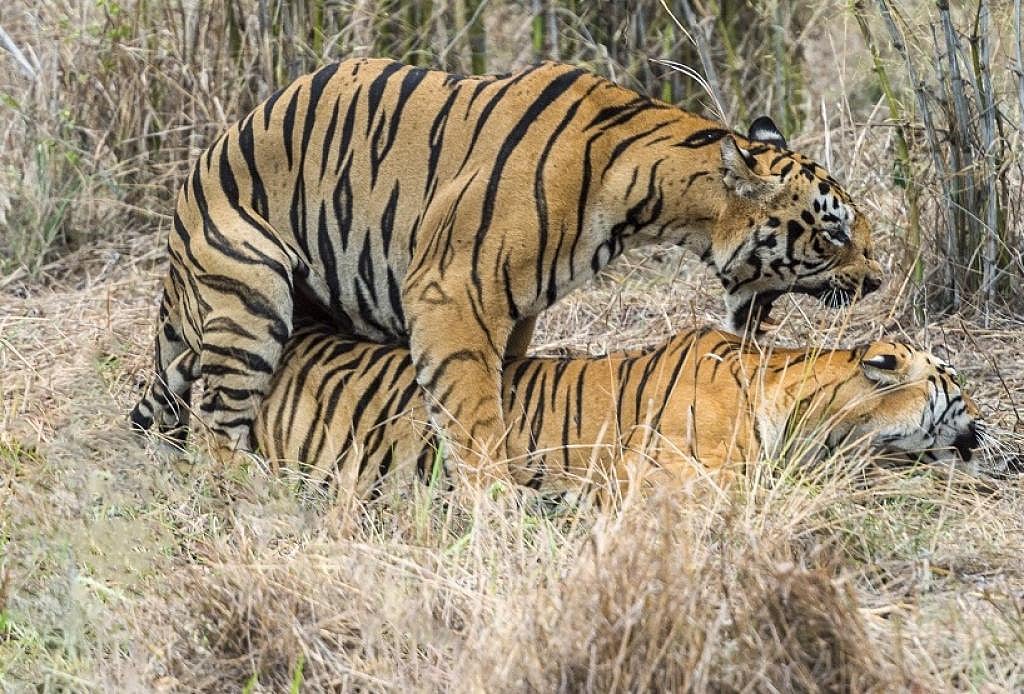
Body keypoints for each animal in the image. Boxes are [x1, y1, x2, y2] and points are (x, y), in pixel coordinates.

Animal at [129, 58, 883, 483]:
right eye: (835, 229)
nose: (876, 280)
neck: (653, 196)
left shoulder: (516, 306)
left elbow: (505, 389)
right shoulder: (450, 294)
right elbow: (472, 412)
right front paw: (496, 500)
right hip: (249, 299)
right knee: (214, 436)